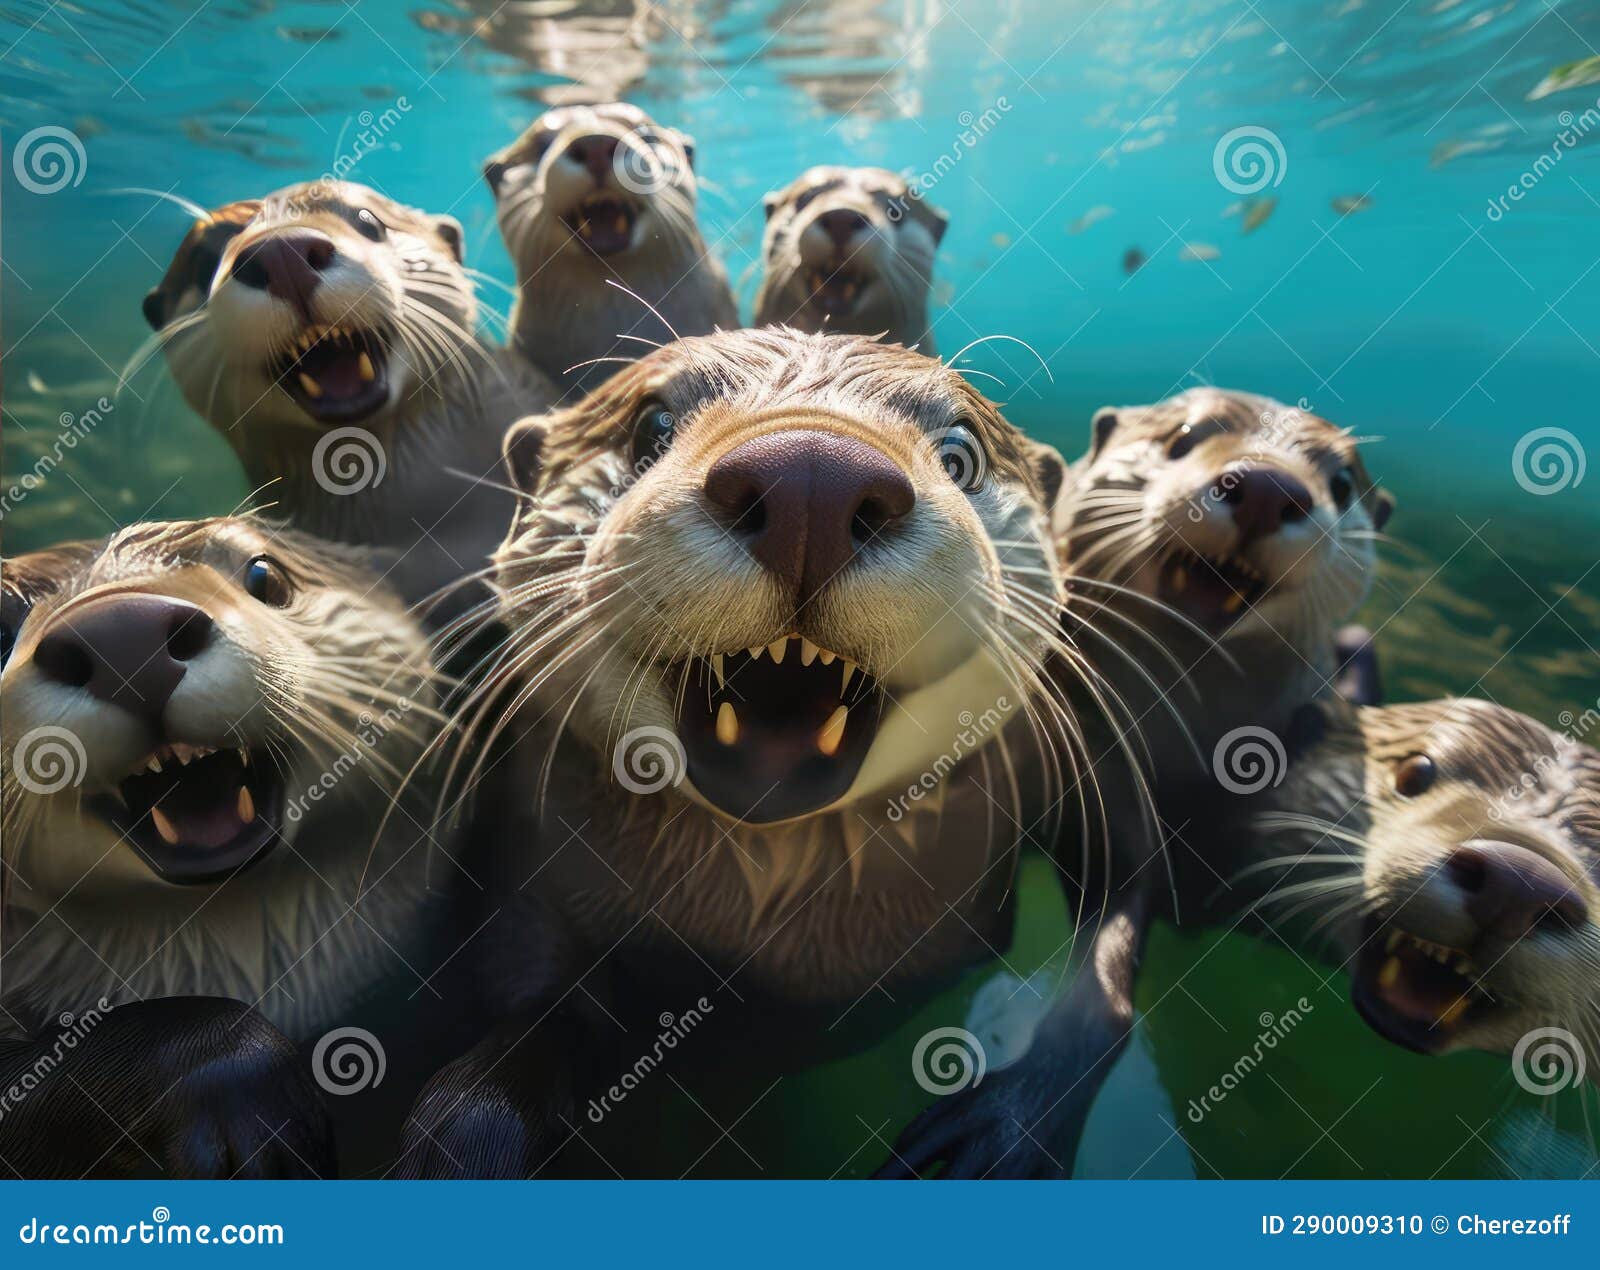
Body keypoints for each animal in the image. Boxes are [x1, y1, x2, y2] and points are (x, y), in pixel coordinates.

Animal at [392, 328, 1100, 1177]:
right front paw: (469, 1129)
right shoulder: (531, 894)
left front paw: (1005, 1128)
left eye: (961, 454)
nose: (813, 477)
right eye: (651, 428)